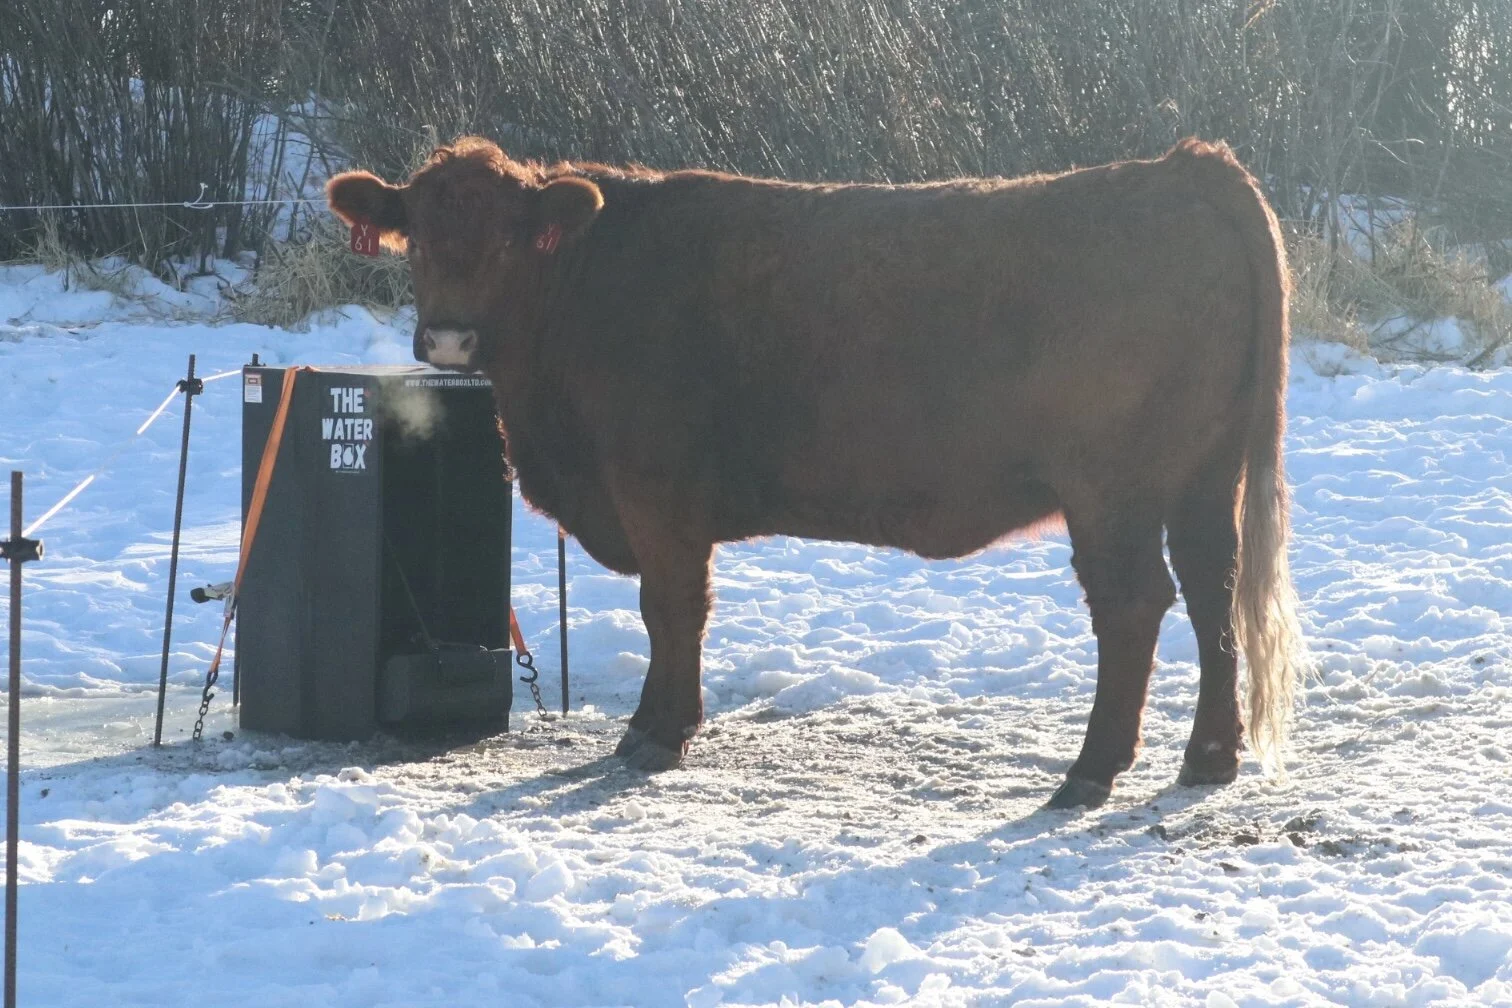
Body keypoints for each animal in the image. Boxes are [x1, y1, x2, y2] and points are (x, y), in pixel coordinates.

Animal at [327, 136, 1306, 809]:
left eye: (503, 244)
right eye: (416, 241)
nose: (449, 340)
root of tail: (1179, 168)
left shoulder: (656, 496)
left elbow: (671, 609)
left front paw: (657, 734)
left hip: (1111, 489)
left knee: (1136, 604)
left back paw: (1090, 772)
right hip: (1204, 476)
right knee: (1213, 592)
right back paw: (1208, 758)